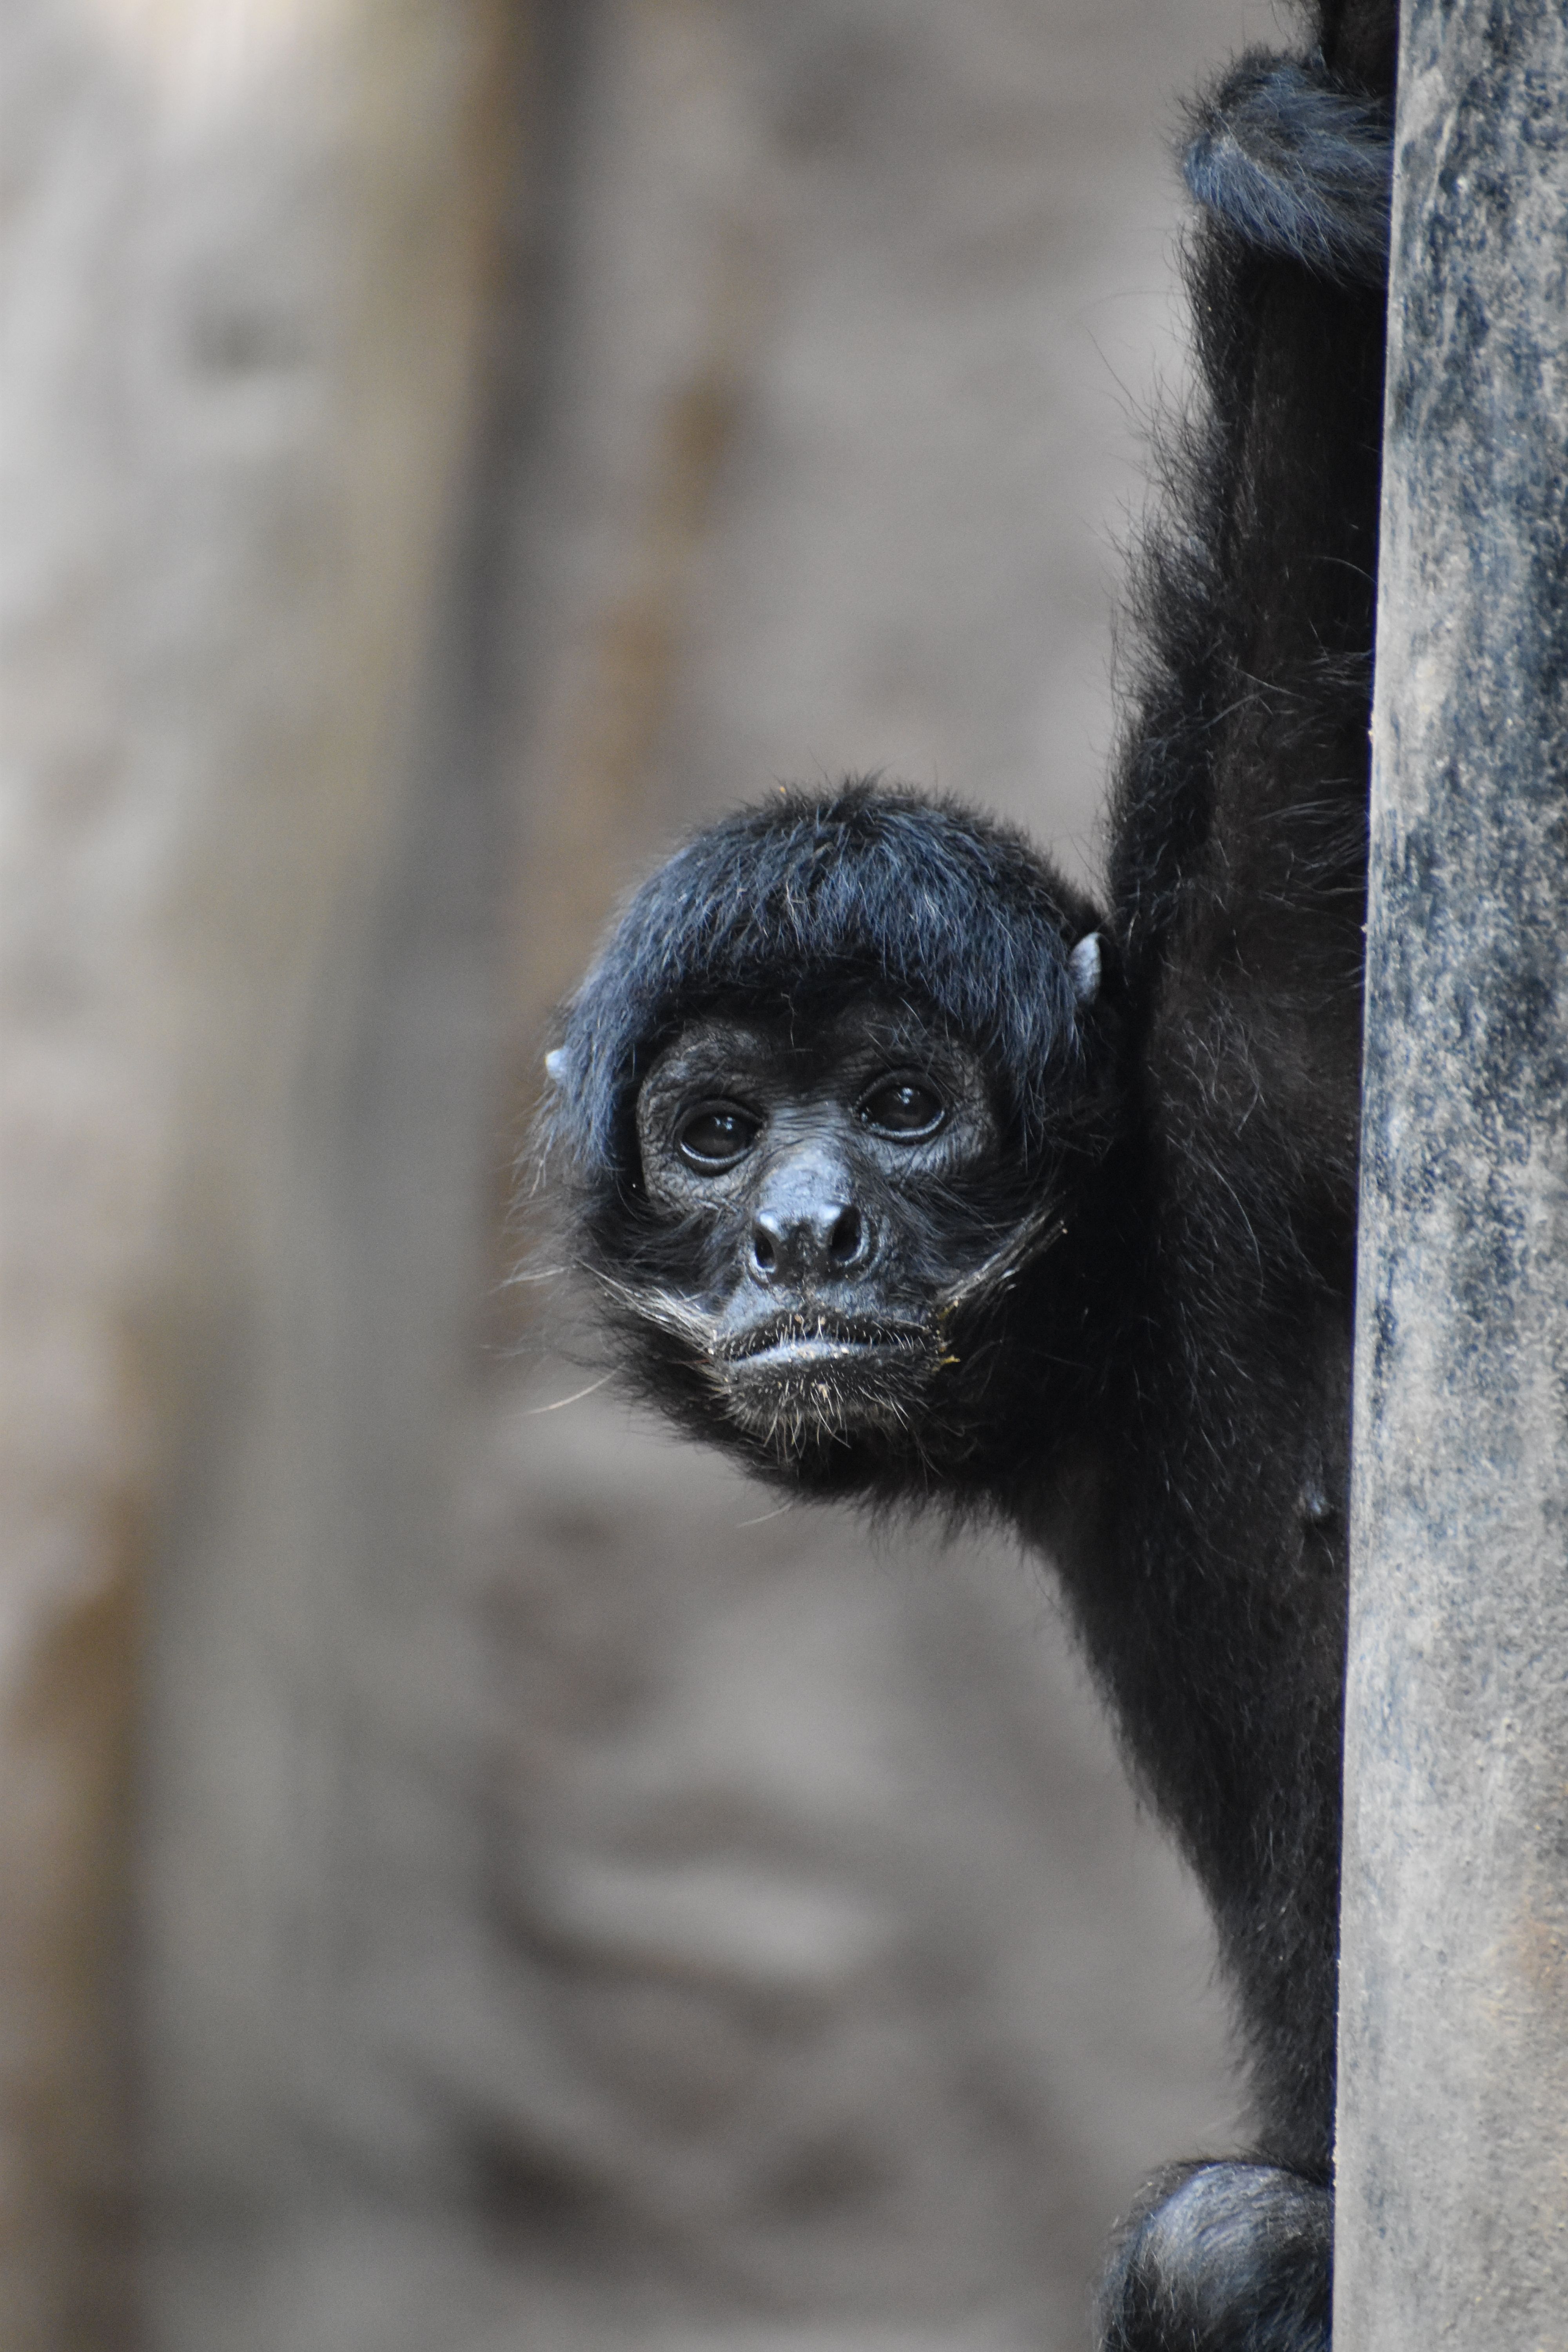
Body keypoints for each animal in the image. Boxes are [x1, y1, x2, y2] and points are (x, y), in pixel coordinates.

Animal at [539, 3, 1397, 2343]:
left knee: (1218, 2239)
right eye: (718, 1129)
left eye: (906, 1105)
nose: (802, 1226)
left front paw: (1296, 165)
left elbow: (1310, 612)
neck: (1134, 1312)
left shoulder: (1252, 1045)